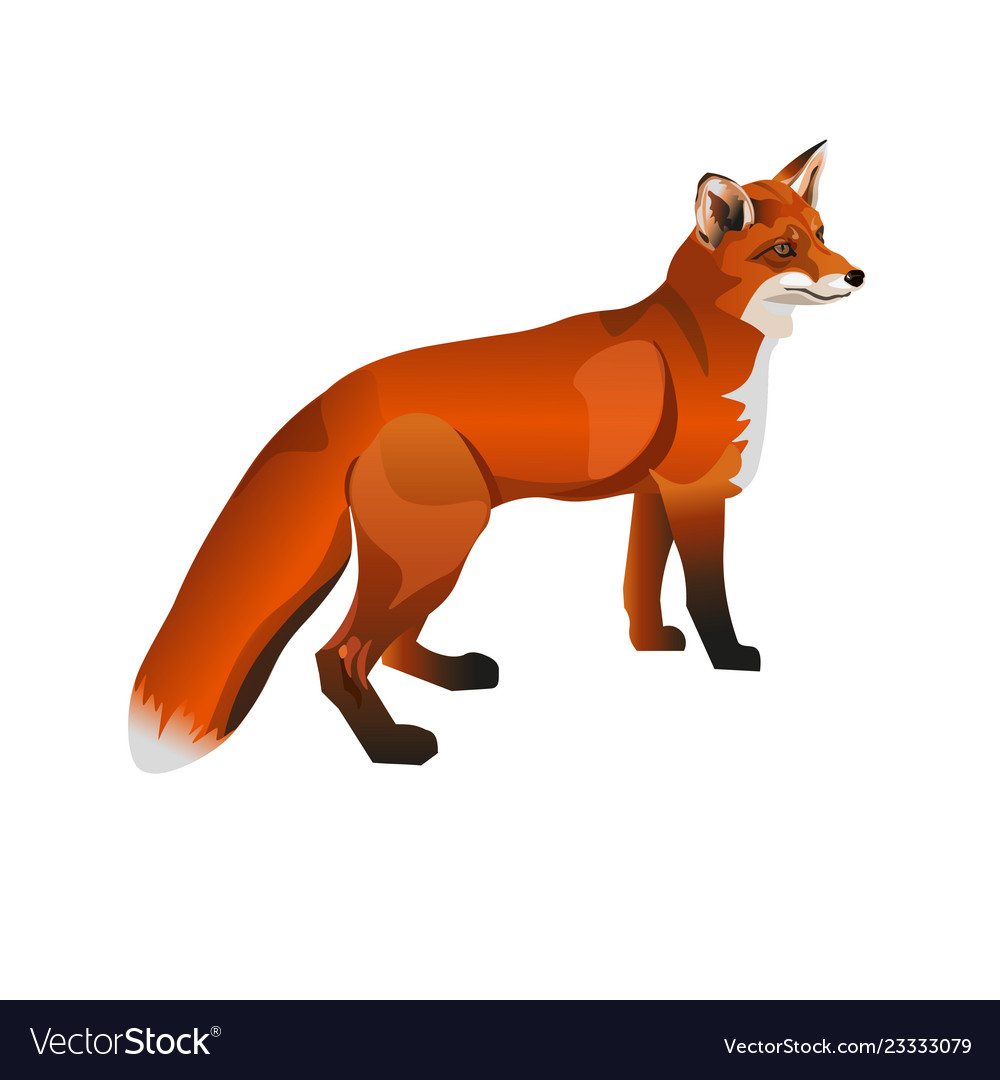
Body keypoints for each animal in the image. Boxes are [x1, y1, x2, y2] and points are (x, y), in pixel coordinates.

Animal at [130, 141, 864, 772]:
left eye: (824, 232)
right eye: (783, 250)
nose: (857, 274)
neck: (705, 338)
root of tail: (345, 389)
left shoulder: (654, 491)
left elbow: (640, 582)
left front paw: (651, 644)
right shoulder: (696, 490)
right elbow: (707, 593)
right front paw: (730, 657)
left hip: (428, 553)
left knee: (389, 647)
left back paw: (453, 677)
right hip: (437, 547)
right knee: (340, 655)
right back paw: (393, 748)